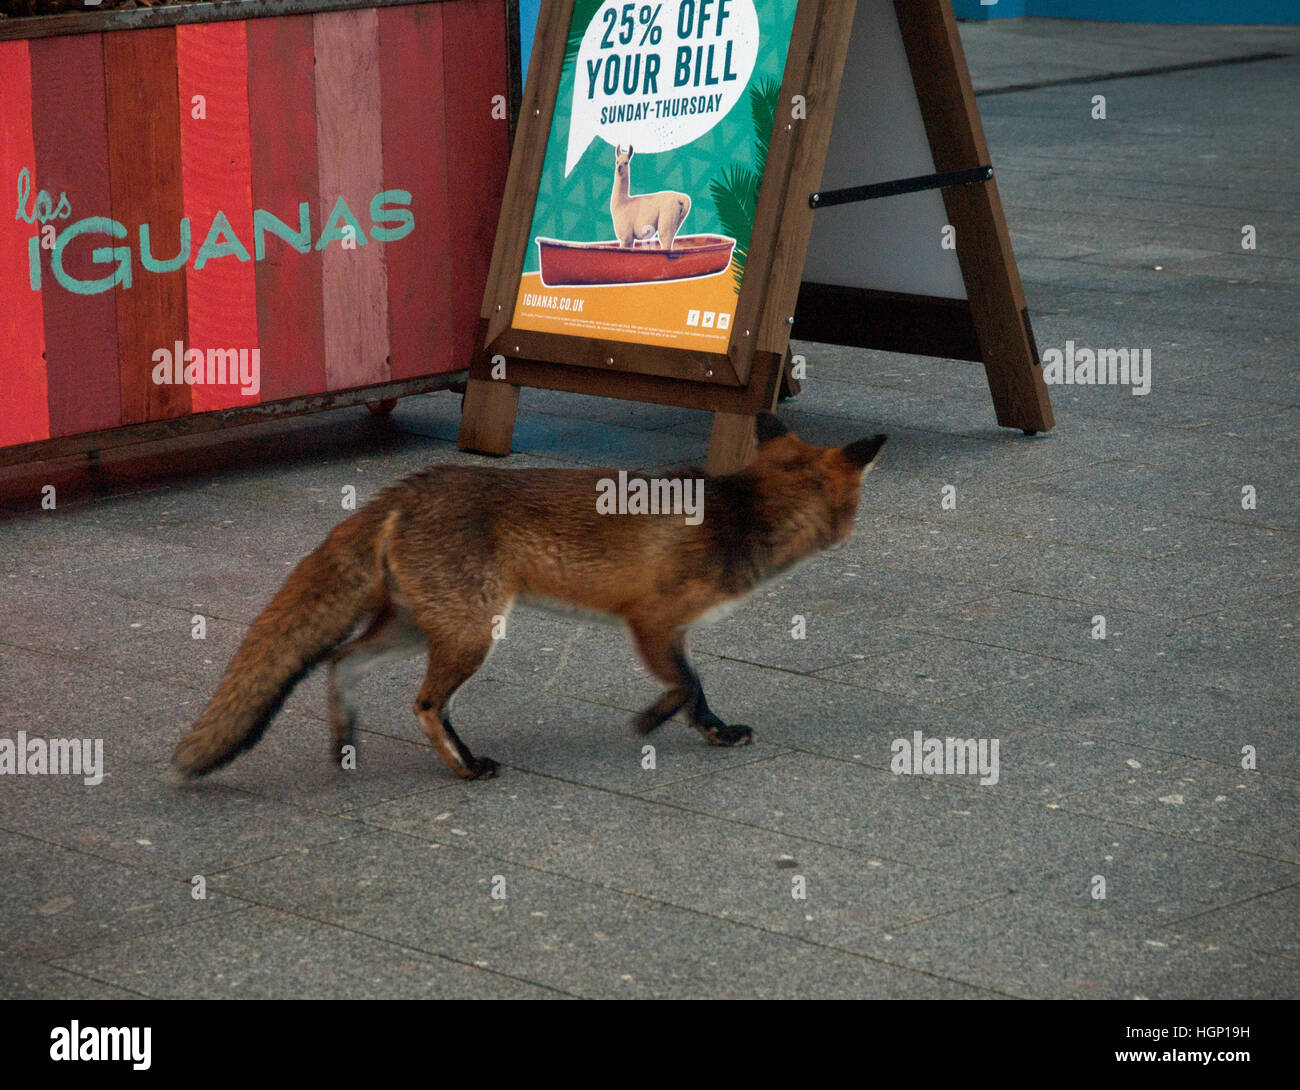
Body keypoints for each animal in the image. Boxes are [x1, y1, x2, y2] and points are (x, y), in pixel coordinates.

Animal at [172, 414, 886, 782]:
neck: (744, 512)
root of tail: (406, 488)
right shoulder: (651, 622)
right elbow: (688, 685)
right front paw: (654, 723)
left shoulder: (673, 631)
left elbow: (696, 688)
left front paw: (708, 729)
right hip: (471, 633)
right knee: (424, 703)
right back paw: (465, 768)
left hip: (416, 628)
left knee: (338, 662)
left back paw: (346, 747)